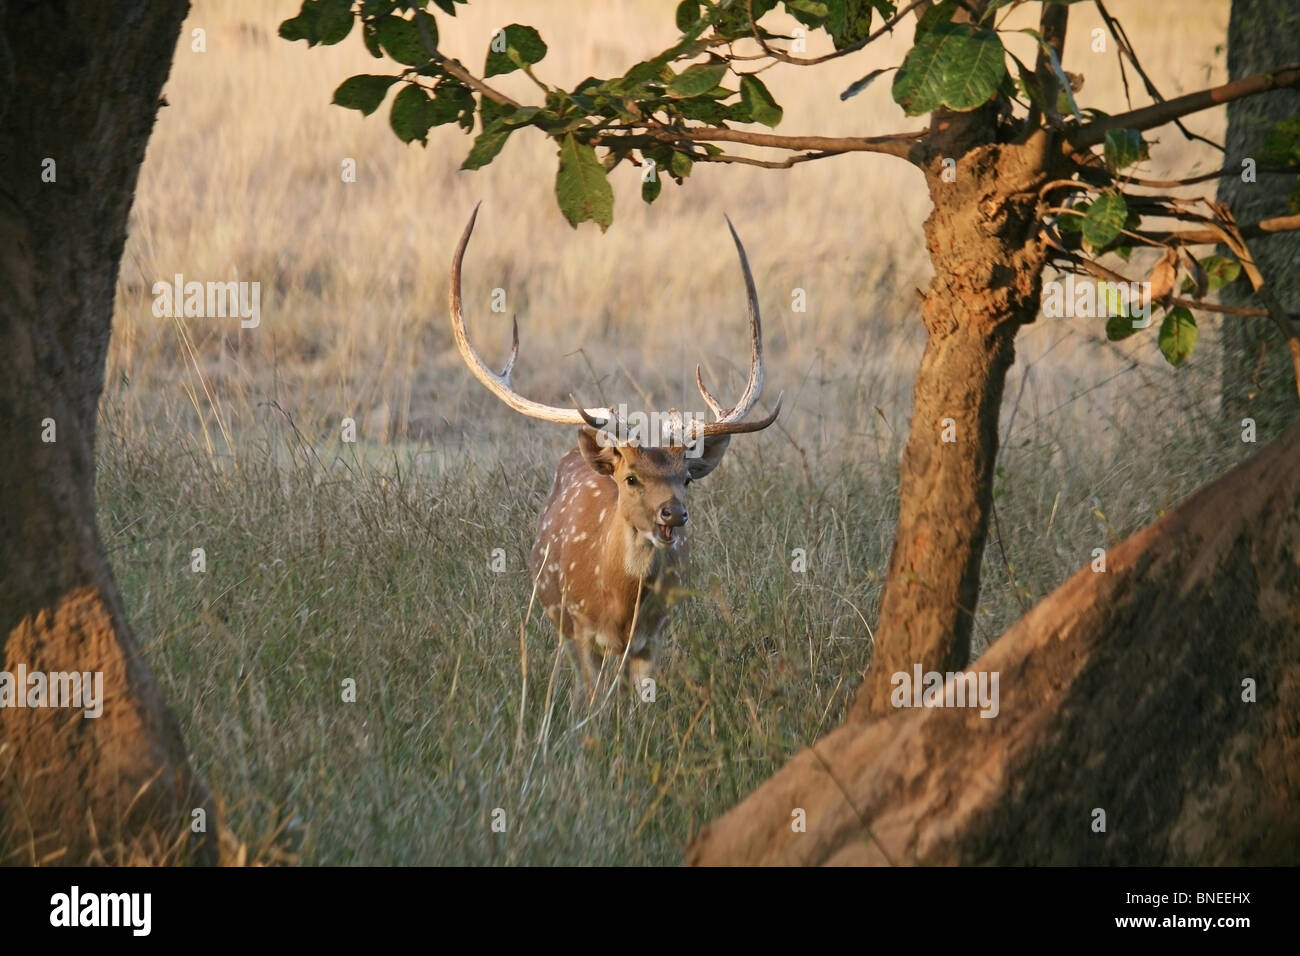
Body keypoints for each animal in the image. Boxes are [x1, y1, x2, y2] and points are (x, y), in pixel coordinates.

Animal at [449, 204, 781, 700]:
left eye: (686, 477)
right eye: (630, 478)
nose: (673, 514)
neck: (619, 607)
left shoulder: (654, 638)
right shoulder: (582, 633)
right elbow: (591, 702)